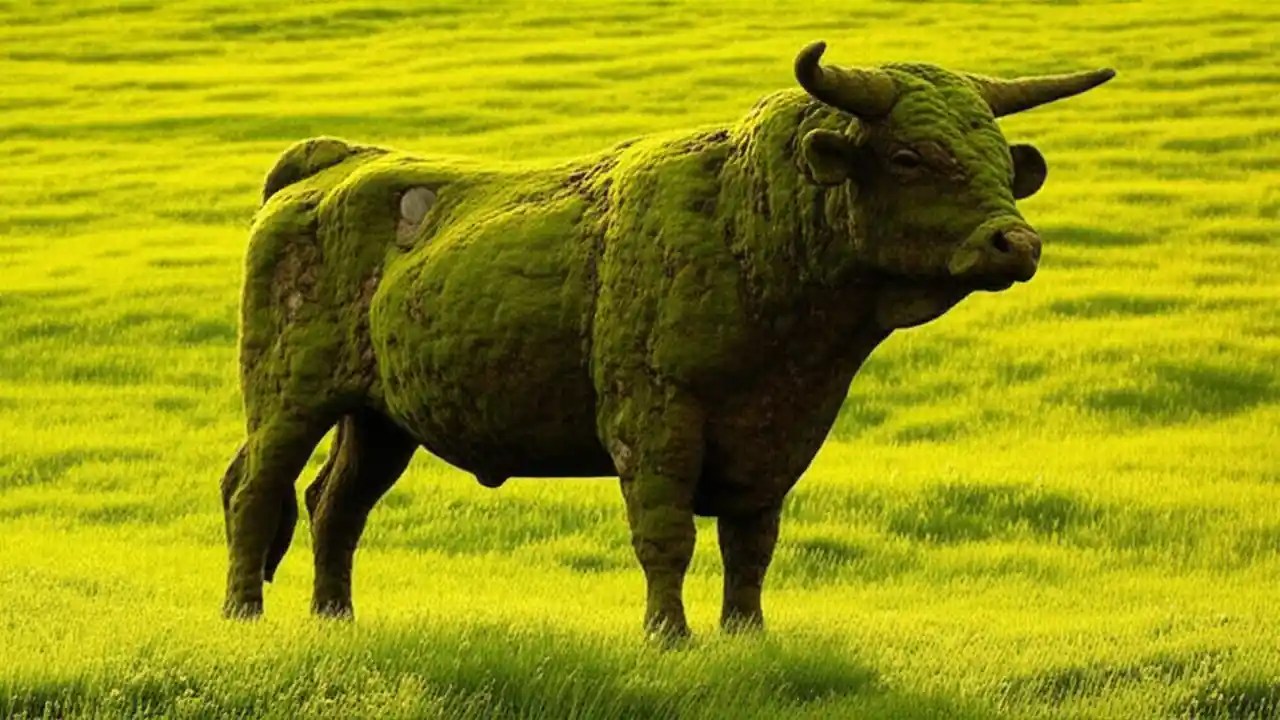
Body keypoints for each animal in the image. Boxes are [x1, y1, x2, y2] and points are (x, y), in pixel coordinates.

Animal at [220, 41, 1114, 639]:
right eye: (910, 155)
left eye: (998, 157)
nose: (1015, 243)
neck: (748, 225)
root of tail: (337, 161)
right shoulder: (655, 418)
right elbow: (667, 533)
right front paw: (669, 634)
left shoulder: (781, 433)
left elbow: (752, 543)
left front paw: (745, 634)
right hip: (289, 400)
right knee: (256, 491)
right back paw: (244, 612)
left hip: (379, 421)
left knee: (335, 507)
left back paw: (336, 618)